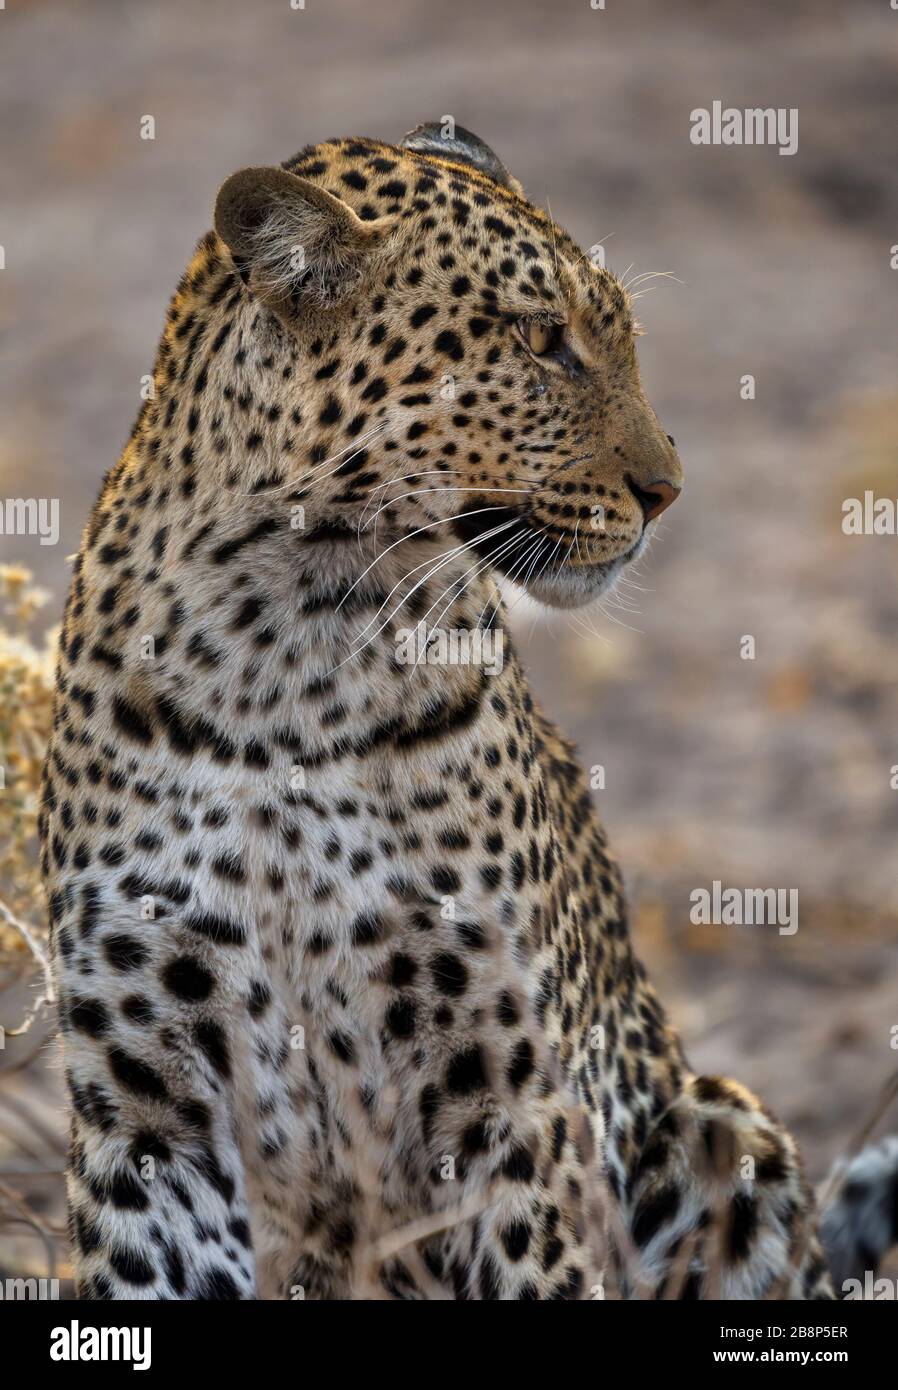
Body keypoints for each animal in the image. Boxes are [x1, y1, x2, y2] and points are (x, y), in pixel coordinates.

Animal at [39, 121, 835, 1300]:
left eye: (614, 335)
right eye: (542, 339)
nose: (667, 492)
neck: (286, 642)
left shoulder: (505, 1103)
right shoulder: (149, 1120)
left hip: (726, 1127)